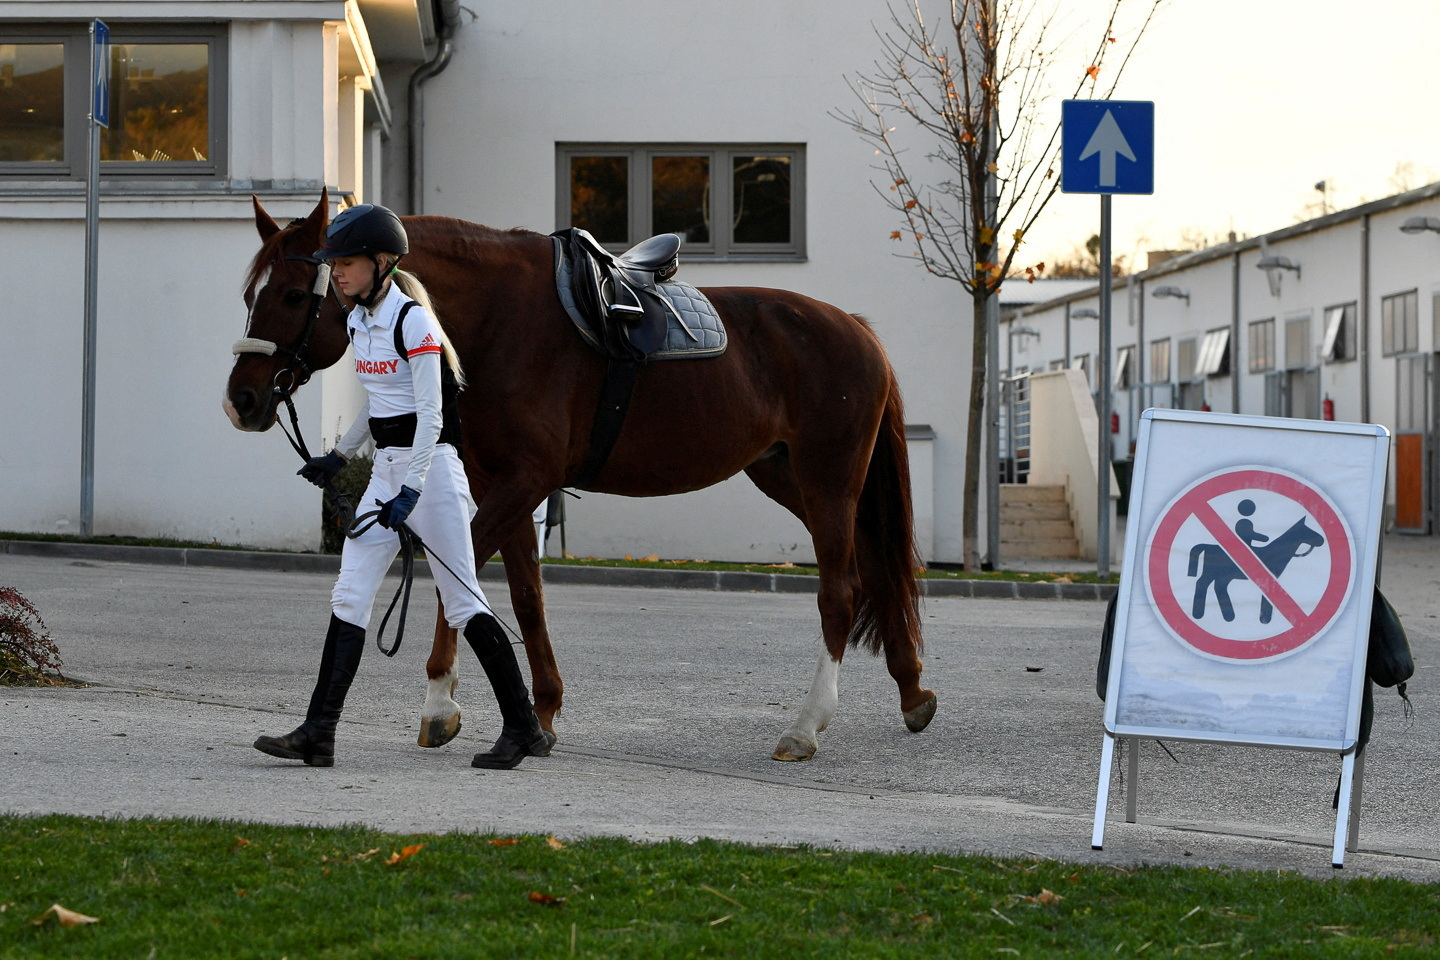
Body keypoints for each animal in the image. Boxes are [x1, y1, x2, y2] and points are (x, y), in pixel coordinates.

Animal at [222, 191, 936, 762]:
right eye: (251, 295)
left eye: (293, 295)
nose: (242, 401)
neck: (497, 319)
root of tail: (858, 331)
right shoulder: (506, 486)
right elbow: (524, 599)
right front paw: (539, 714)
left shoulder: (524, 481)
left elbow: (458, 584)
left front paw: (440, 706)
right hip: (789, 478)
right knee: (876, 570)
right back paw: (913, 693)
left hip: (828, 481)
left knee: (840, 592)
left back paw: (806, 727)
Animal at [1187, 517, 1325, 623]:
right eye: (1307, 530)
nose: (1322, 540)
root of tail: (1208, 546)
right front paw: (1265, 619)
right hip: (1211, 573)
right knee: (1202, 583)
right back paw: (1200, 614)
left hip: (1223, 576)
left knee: (1218, 586)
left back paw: (1228, 615)